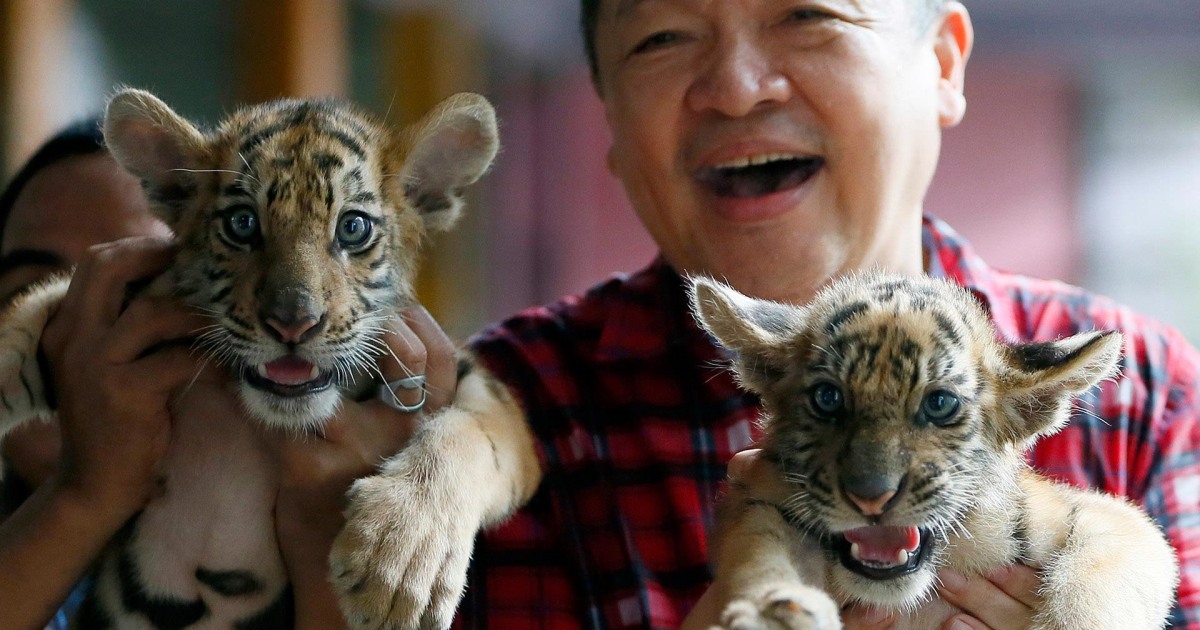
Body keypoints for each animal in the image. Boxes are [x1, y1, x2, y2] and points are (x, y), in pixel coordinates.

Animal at [0, 89, 542, 629]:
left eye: (353, 228)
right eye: (242, 224)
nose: (293, 323)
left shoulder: (483, 392)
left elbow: (468, 435)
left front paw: (398, 561)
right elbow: (36, 308)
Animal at [688, 273, 1178, 630]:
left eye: (939, 404)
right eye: (828, 398)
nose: (871, 496)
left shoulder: (1112, 519)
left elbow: (1104, 572)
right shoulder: (759, 497)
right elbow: (759, 550)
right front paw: (771, 614)